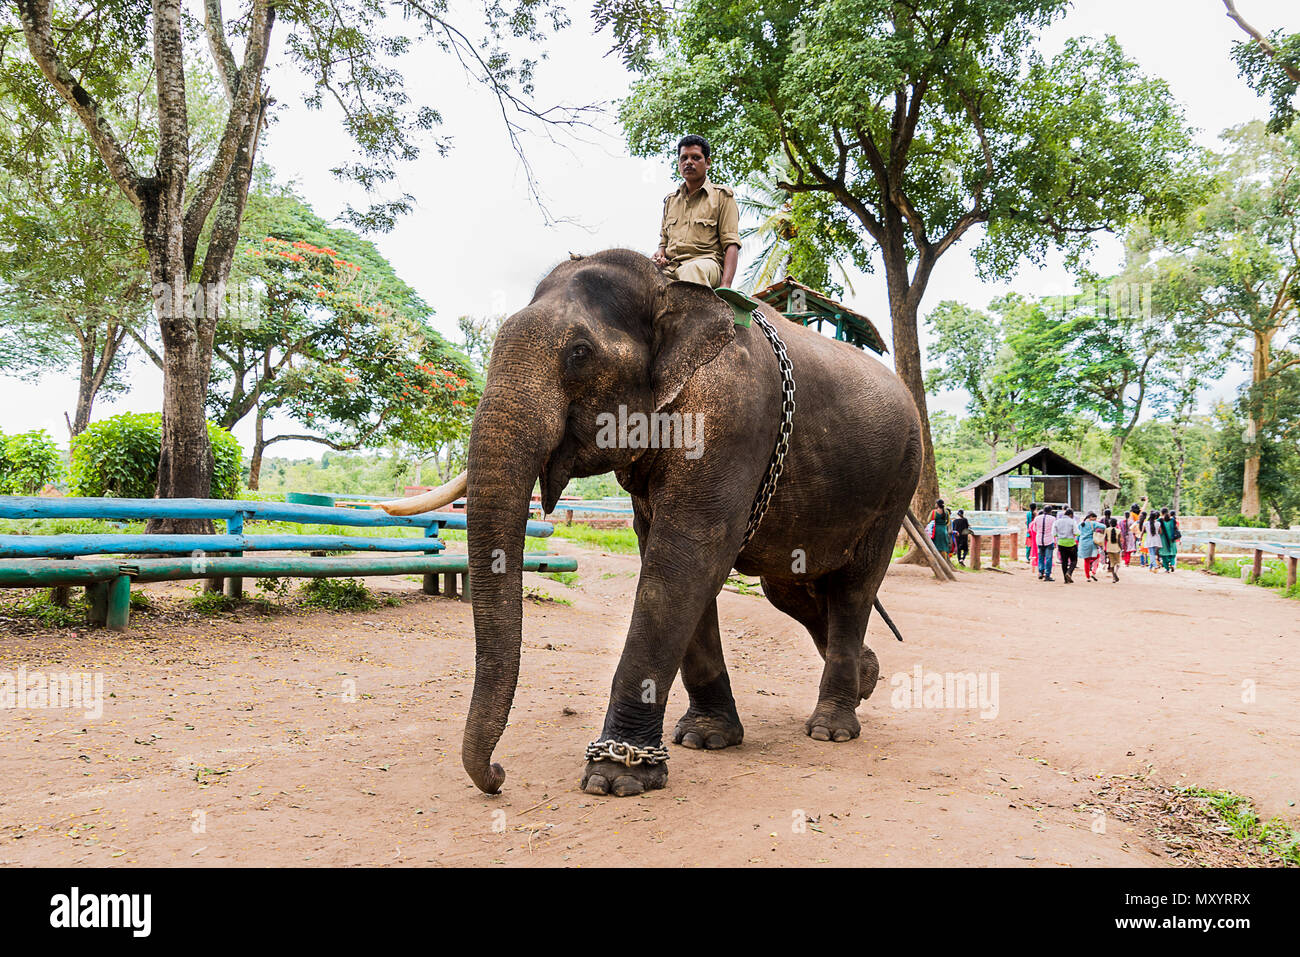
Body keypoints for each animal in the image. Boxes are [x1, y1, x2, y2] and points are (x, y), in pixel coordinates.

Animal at [384, 250, 925, 795]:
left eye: (580, 353)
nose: (497, 776)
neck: (666, 287)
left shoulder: (732, 419)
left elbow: (686, 557)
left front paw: (616, 776)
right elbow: (670, 557)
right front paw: (705, 738)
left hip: (900, 478)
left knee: (854, 587)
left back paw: (832, 728)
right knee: (790, 589)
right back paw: (867, 678)